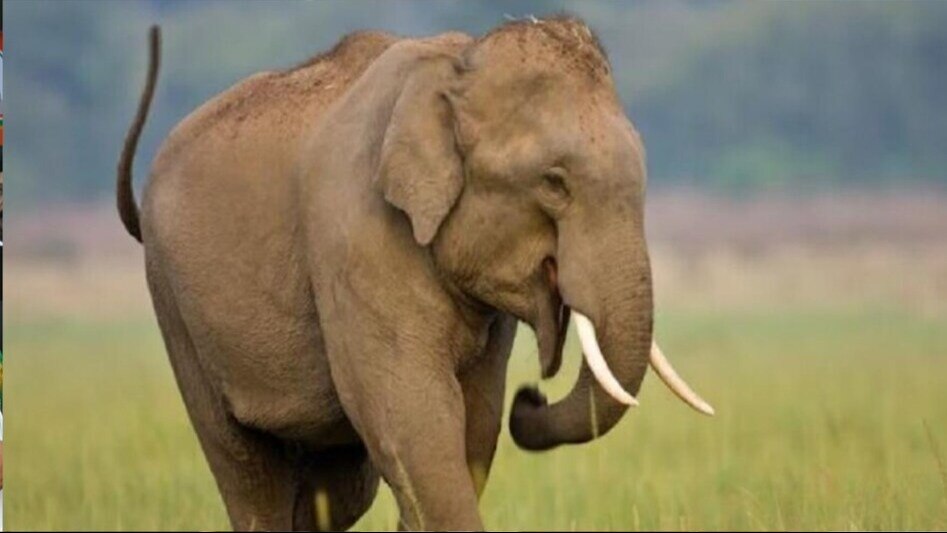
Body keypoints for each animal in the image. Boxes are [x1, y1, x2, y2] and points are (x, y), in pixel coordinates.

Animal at [116, 16, 713, 531]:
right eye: (554, 182)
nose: (531, 398)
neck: (454, 68)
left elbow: (474, 423)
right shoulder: (357, 235)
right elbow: (418, 421)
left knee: (338, 487)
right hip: (174, 307)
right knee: (245, 467)